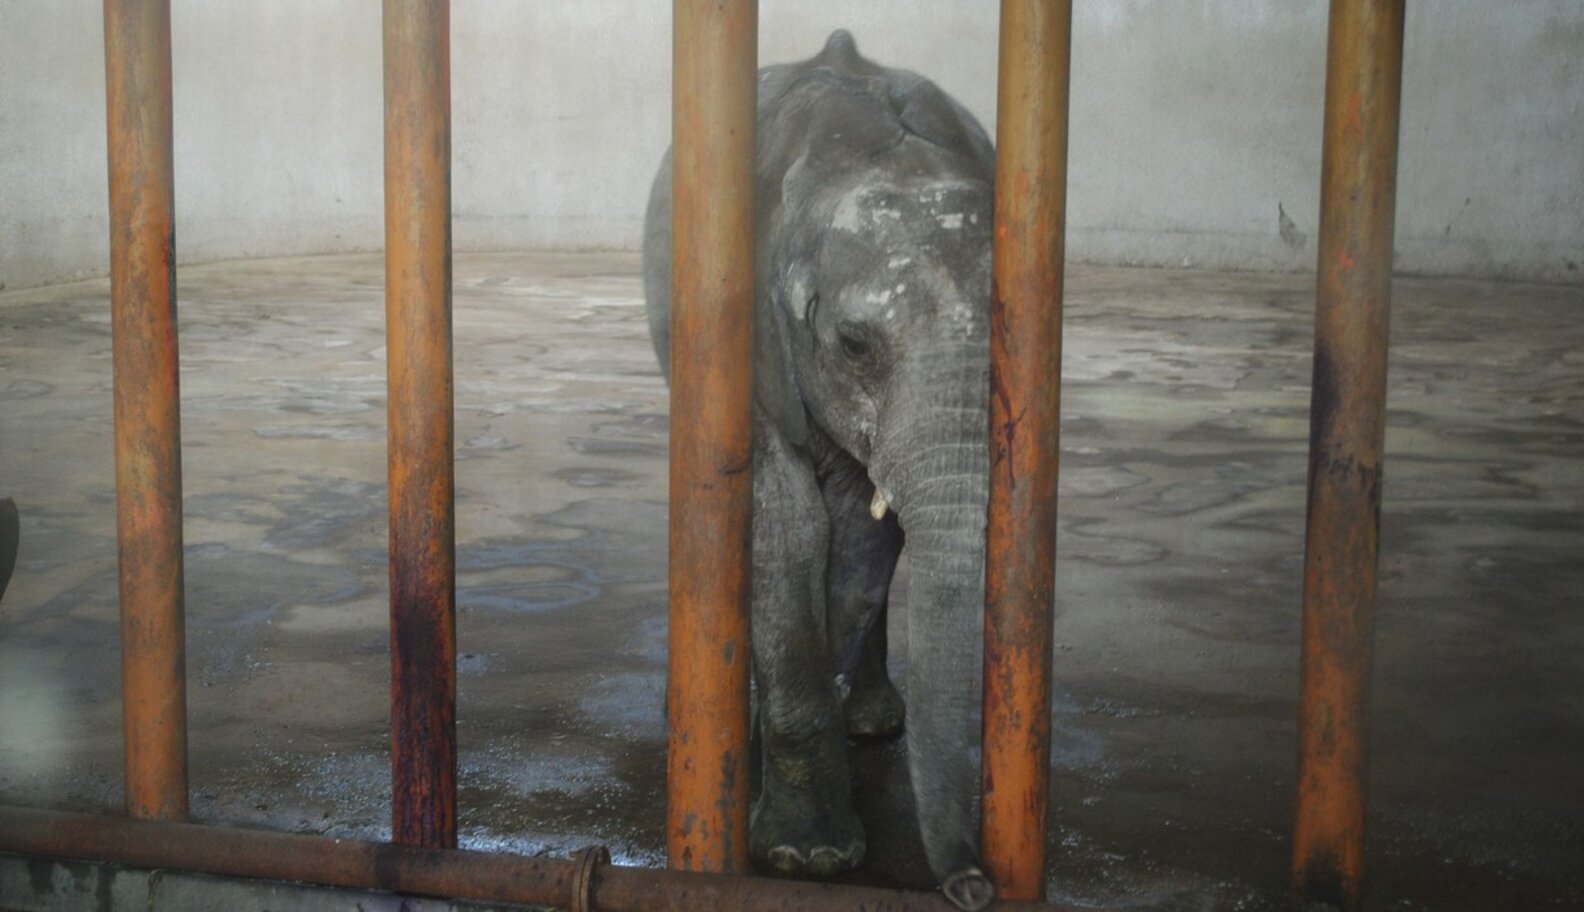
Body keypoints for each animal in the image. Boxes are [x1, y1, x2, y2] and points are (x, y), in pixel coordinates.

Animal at [643, 30, 998, 911]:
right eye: (854, 344)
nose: (974, 885)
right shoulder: (756, 336)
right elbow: (784, 523)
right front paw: (808, 860)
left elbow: (861, 538)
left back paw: (869, 718)